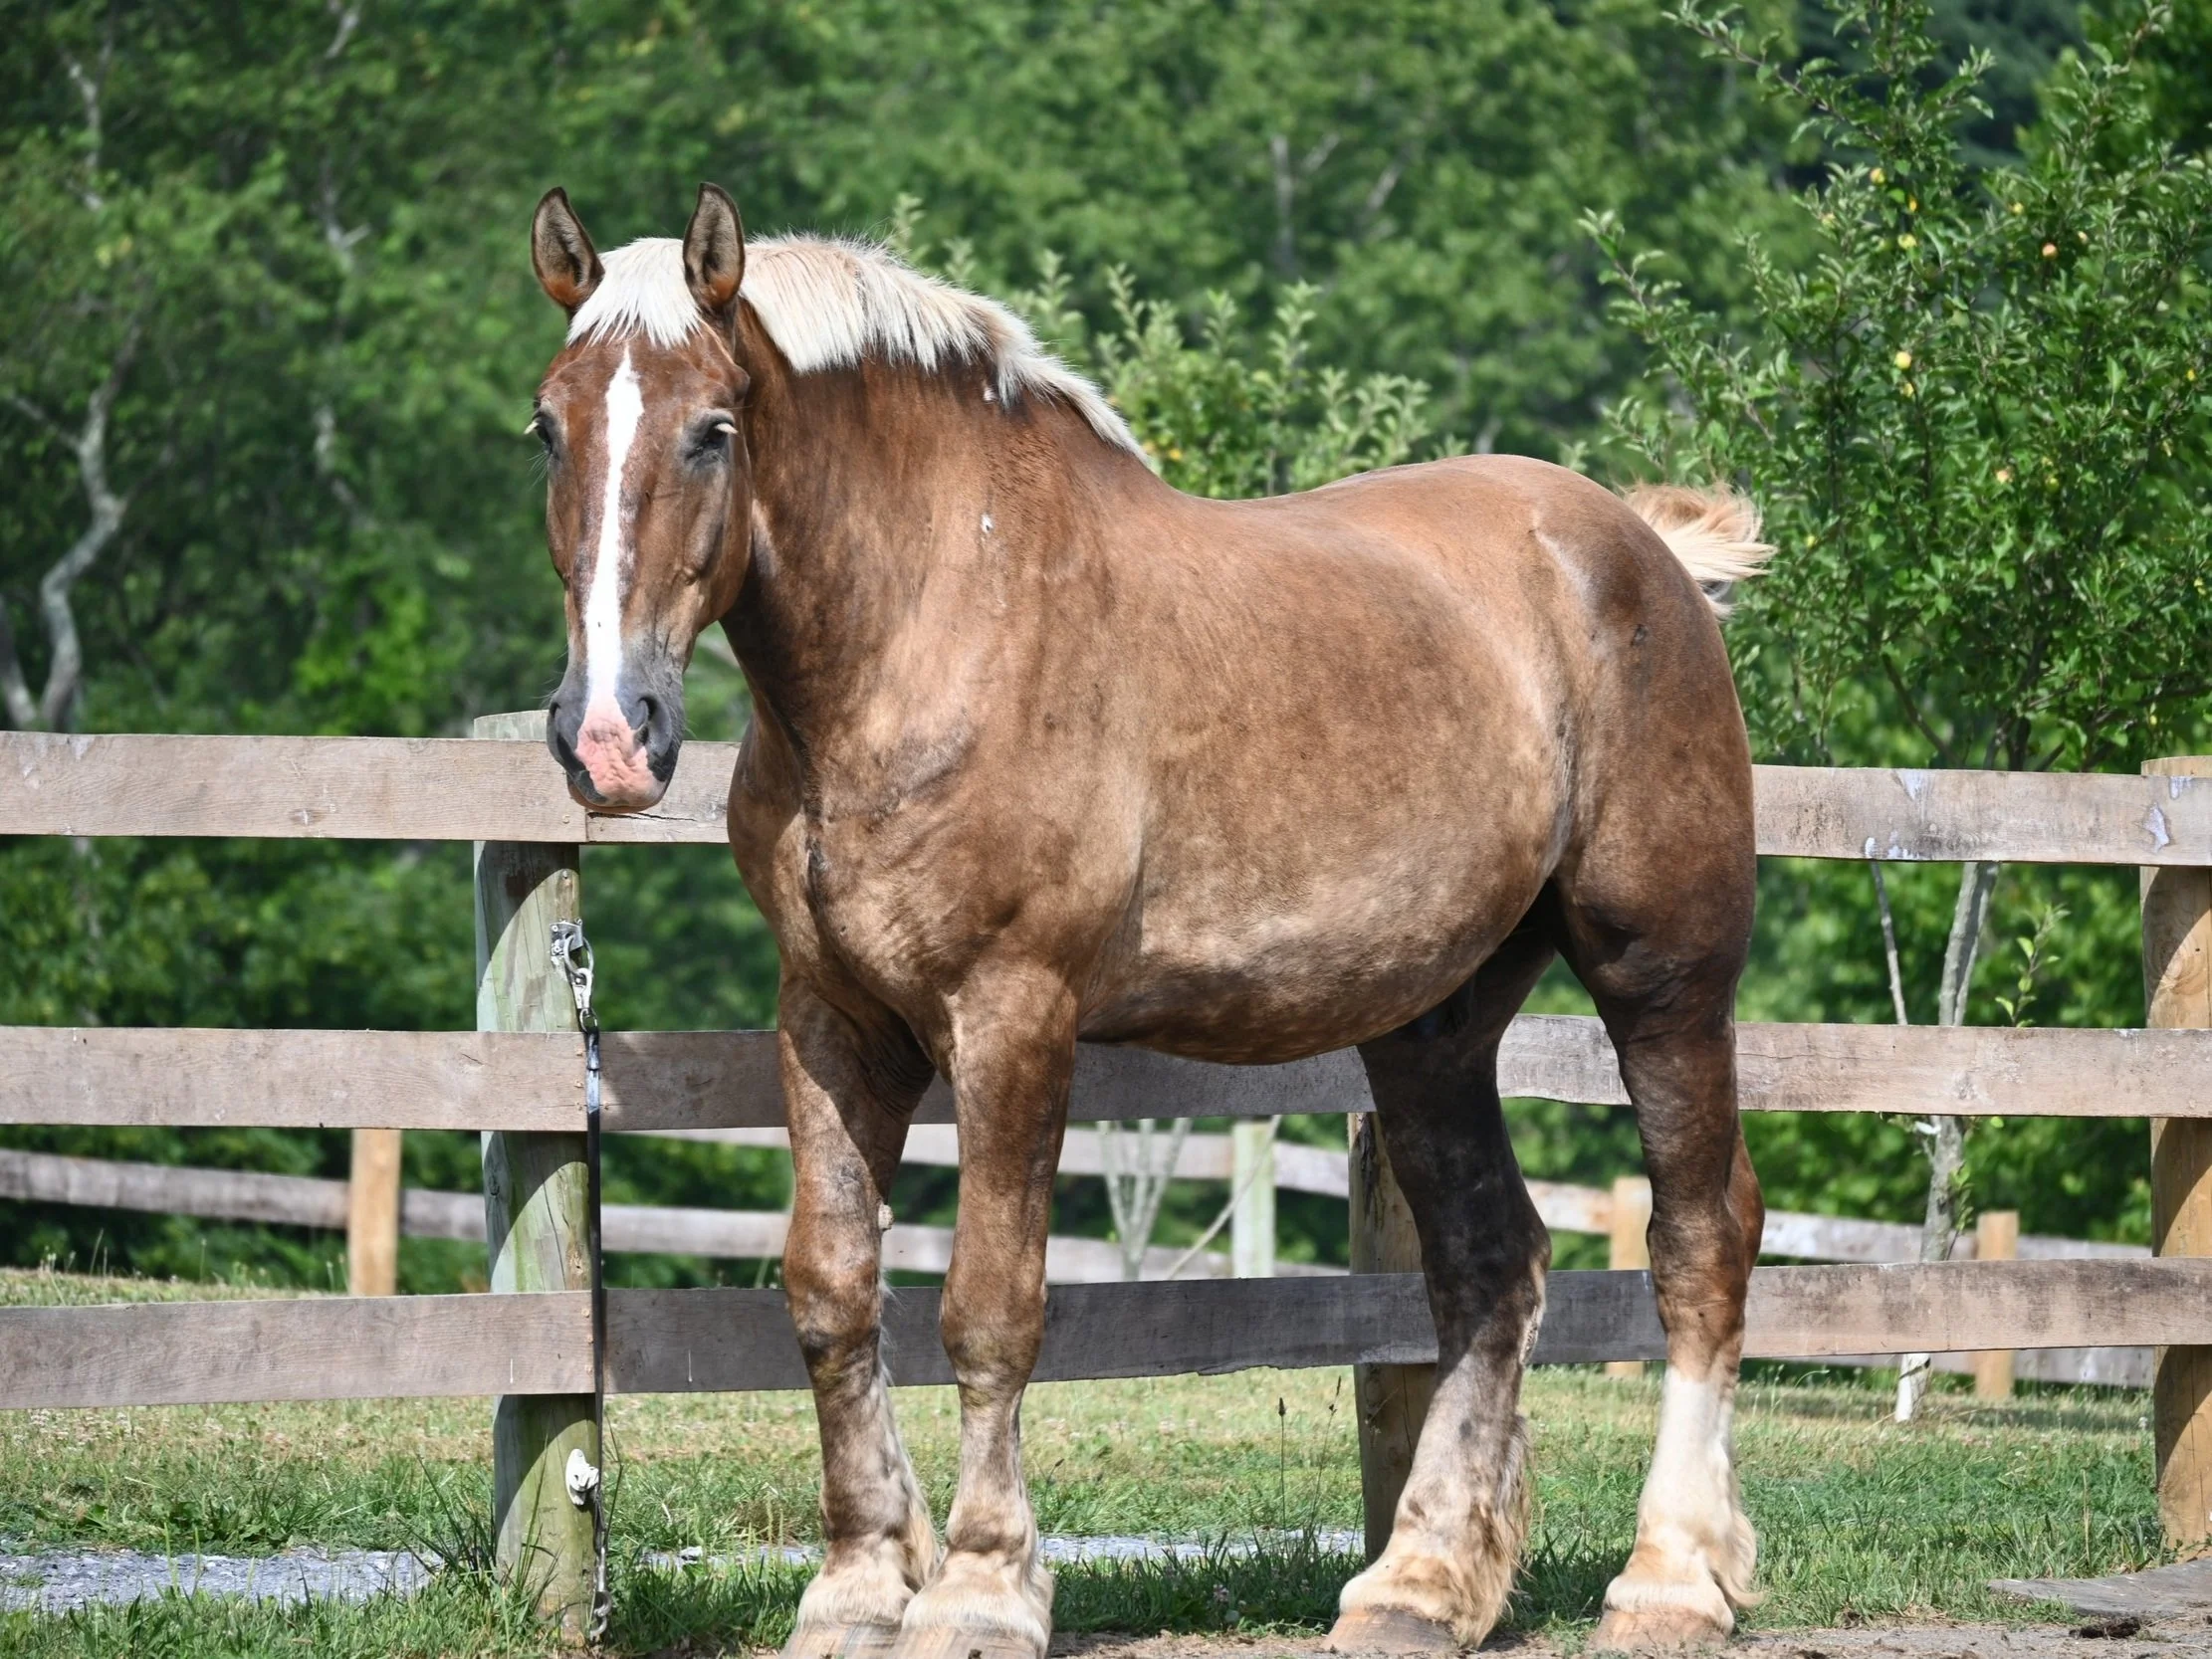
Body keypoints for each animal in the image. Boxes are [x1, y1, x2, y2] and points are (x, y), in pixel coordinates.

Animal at [525, 182, 1770, 1657]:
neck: (937, 621)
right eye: (547, 425)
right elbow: (830, 1289)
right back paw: (1417, 1585)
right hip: (1433, 1026)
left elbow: (989, 1304)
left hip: (1661, 976)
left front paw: (980, 1586)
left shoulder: (1013, 1012)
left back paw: (1669, 1576)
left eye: (712, 429)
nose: (609, 735)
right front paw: (854, 1586)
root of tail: (1641, 549)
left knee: (1698, 1240)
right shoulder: (833, 1018)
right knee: (1489, 1265)